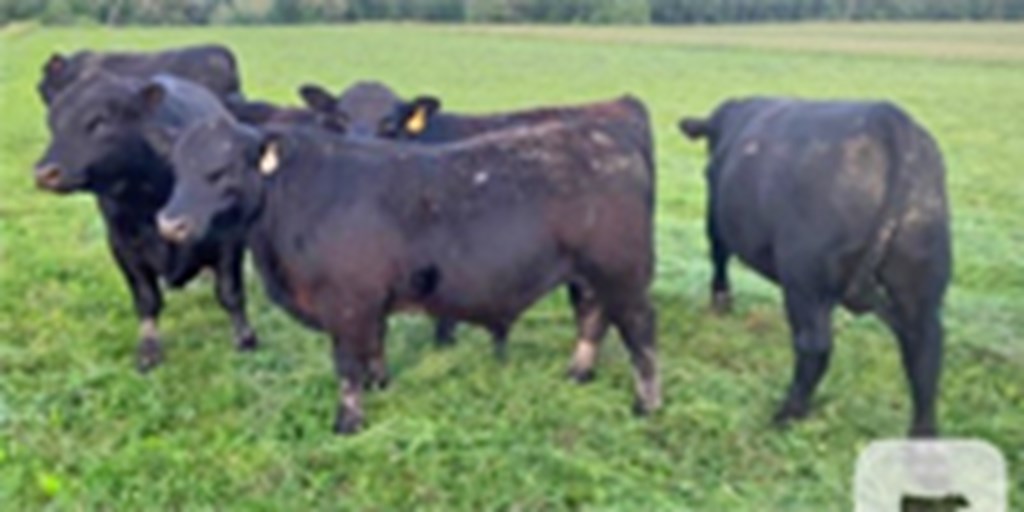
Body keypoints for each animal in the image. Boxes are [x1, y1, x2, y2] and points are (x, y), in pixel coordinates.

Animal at [33, 71, 259, 371]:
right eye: (52, 124)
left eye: (100, 121)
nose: (45, 173)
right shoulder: (122, 245)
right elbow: (147, 299)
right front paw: (148, 348)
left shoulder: (230, 236)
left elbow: (230, 292)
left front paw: (245, 337)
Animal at [680, 97, 951, 437]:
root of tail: (891, 121)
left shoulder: (716, 219)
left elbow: (718, 255)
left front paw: (721, 303)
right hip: (921, 284)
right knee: (925, 351)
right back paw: (922, 433)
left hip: (806, 280)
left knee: (815, 346)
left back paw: (786, 414)